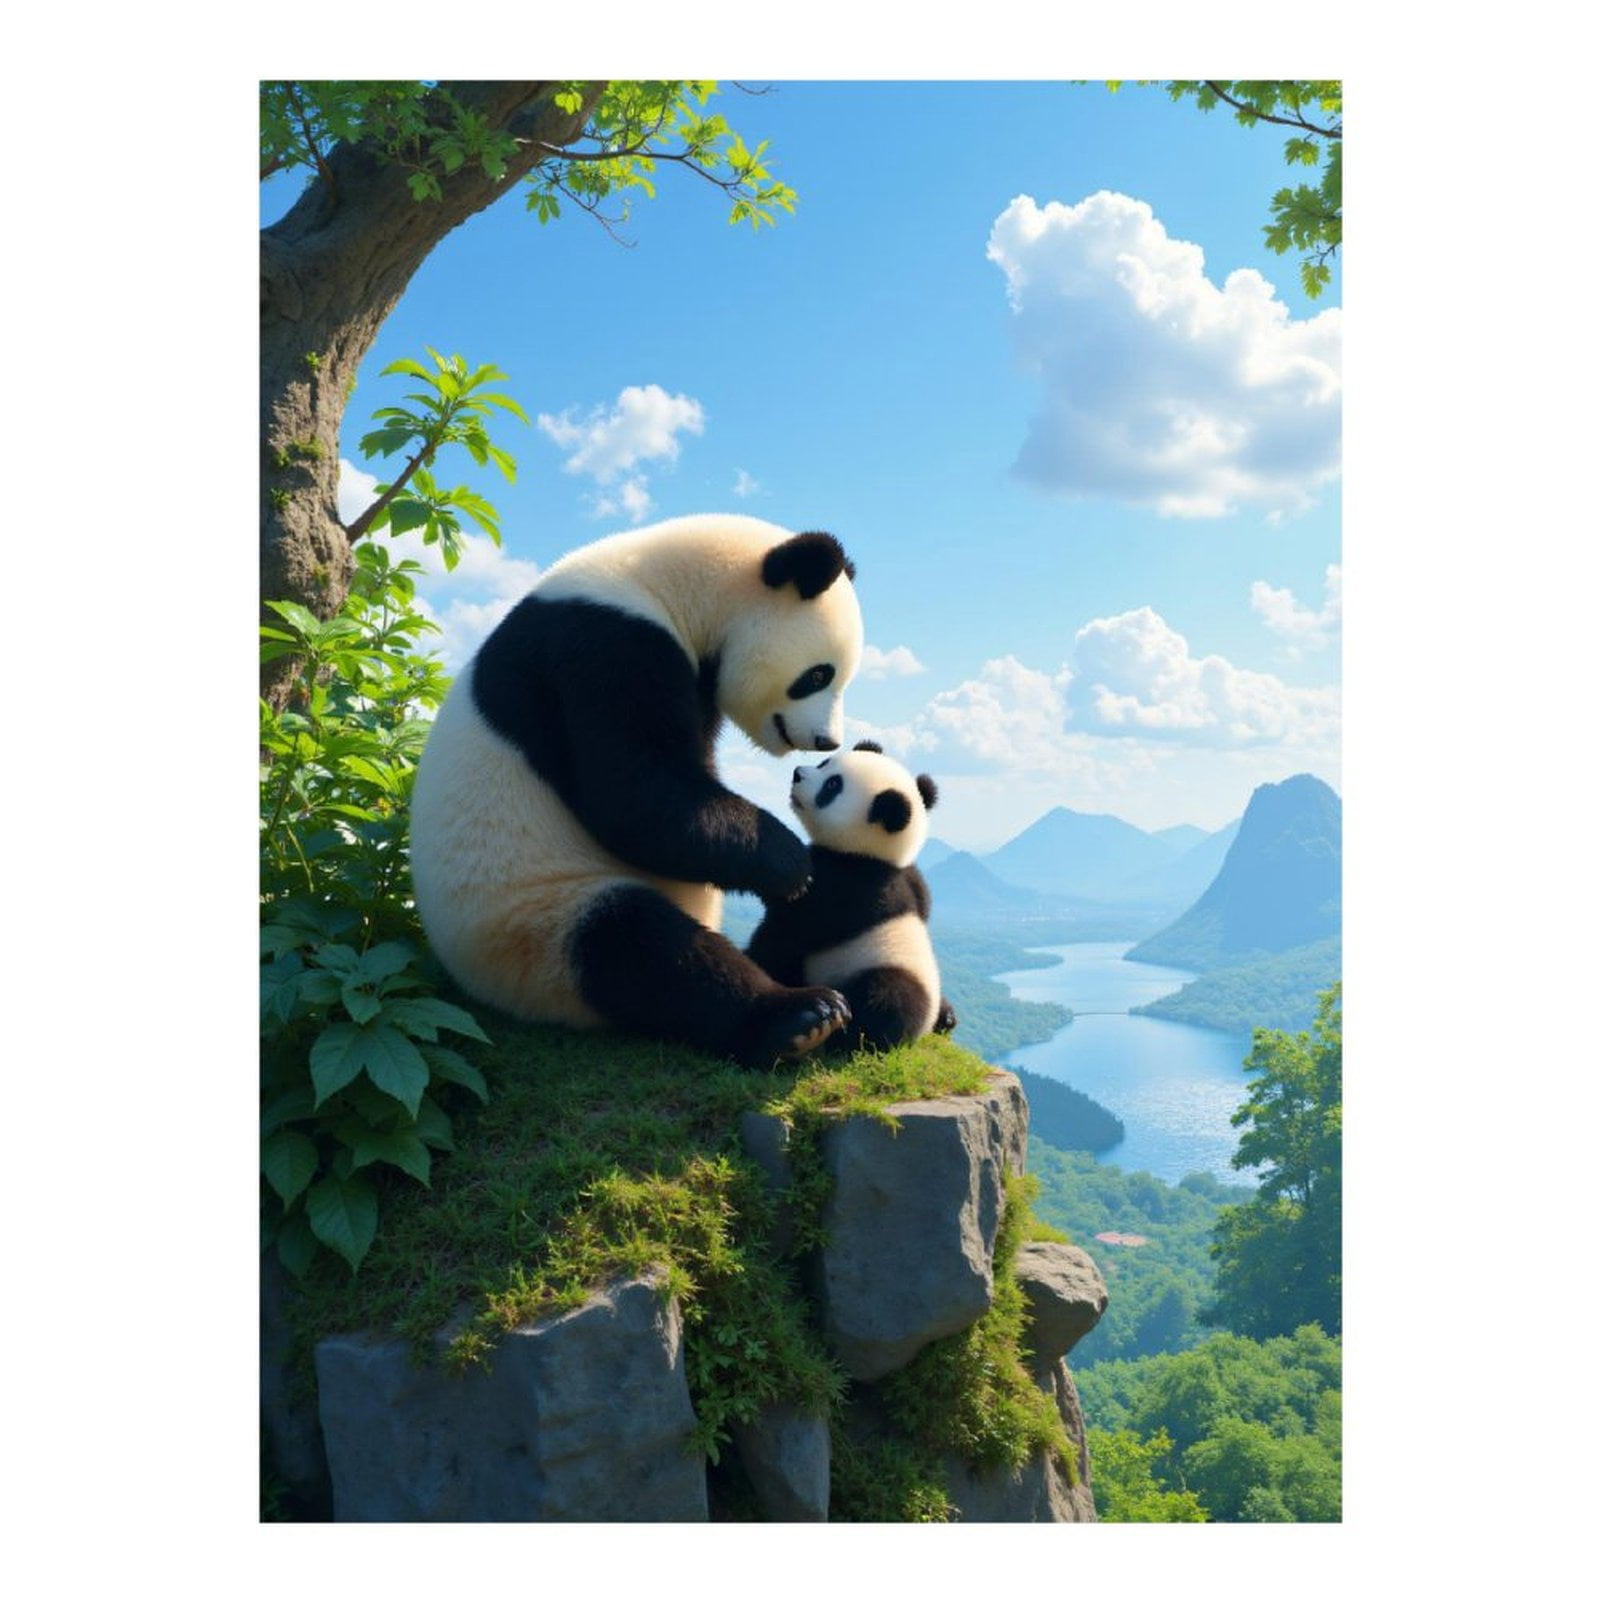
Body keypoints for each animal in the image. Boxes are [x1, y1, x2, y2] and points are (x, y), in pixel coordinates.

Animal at [408, 513, 867, 1069]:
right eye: (818, 675)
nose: (827, 740)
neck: (666, 585)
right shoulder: (603, 644)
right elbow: (634, 793)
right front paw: (791, 867)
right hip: (528, 926)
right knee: (636, 944)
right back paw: (797, 1019)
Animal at [746, 741, 957, 1054]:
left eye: (833, 786)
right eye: (825, 763)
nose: (798, 773)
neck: (878, 856)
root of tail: (924, 1028)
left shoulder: (848, 884)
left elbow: (790, 926)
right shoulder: (910, 878)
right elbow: (923, 898)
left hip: (881, 973)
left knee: (887, 998)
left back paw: (838, 1033)